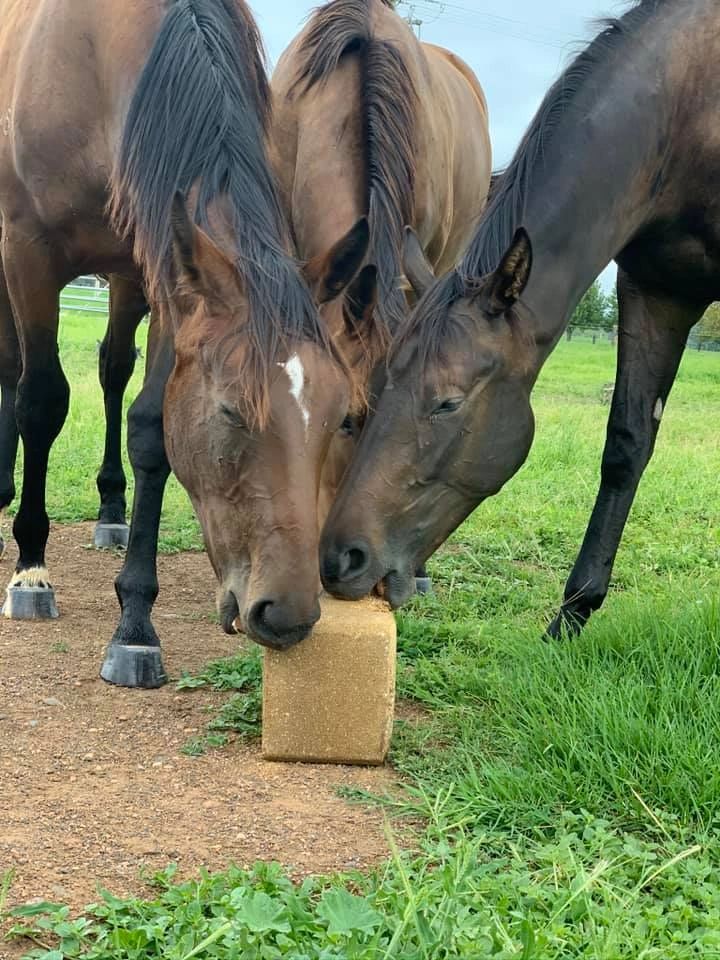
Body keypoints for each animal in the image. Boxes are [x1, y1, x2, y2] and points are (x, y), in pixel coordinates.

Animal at [321, 0, 720, 633]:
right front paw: (573, 613)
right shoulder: (659, 293)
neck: (690, 107)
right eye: (376, 388)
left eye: (448, 403)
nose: (341, 558)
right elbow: (626, 445)